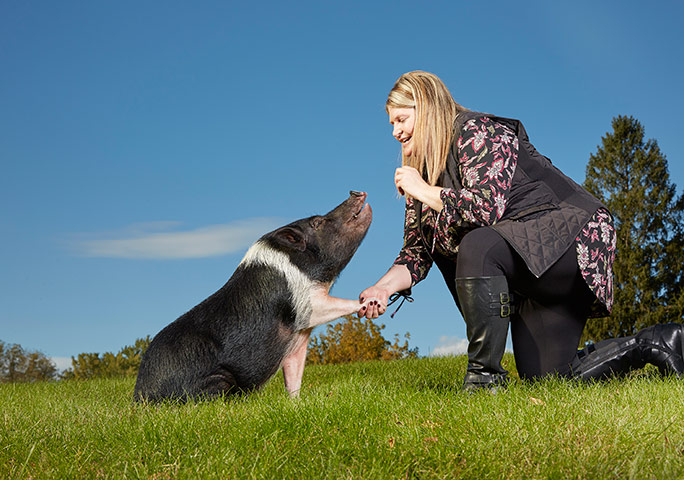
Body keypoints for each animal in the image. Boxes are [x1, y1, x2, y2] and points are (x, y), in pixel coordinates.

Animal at [133, 191, 372, 402]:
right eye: (317, 222)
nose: (355, 191)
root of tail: (141, 398)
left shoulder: (298, 338)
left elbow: (293, 375)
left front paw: (295, 403)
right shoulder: (304, 302)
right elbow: (329, 304)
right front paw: (370, 303)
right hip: (217, 381)